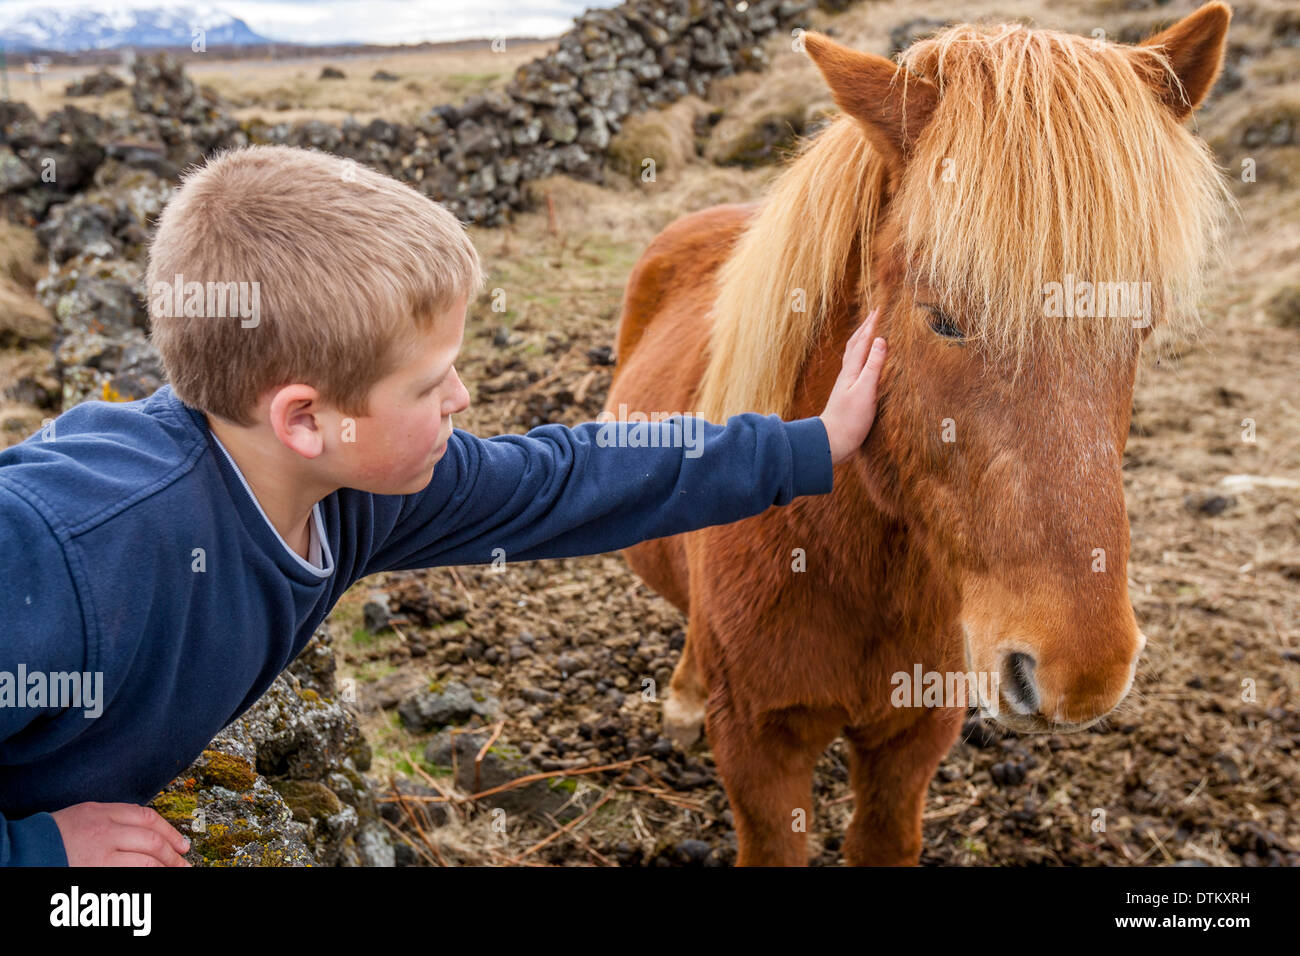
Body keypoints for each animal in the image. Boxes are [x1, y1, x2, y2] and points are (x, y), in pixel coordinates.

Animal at [606, 3, 1234, 865]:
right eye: (941, 318)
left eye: (1142, 322)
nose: (1084, 672)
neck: (845, 559)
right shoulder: (760, 751)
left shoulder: (911, 742)